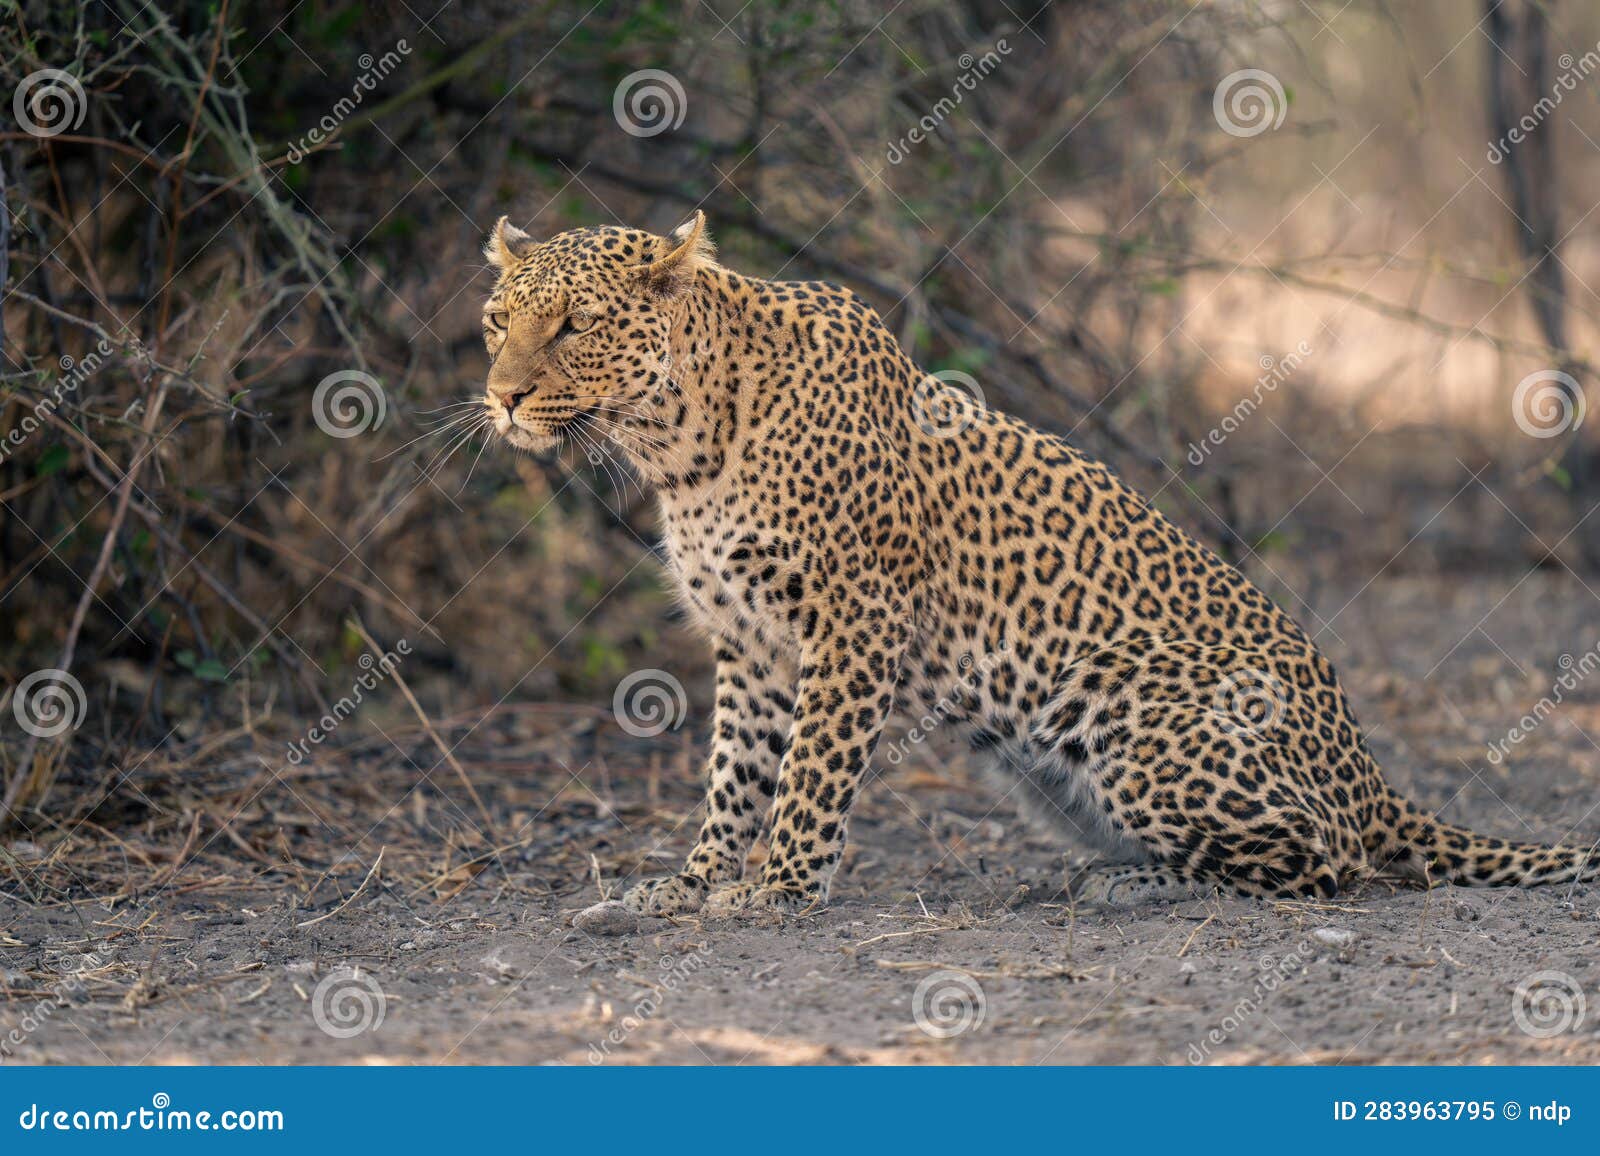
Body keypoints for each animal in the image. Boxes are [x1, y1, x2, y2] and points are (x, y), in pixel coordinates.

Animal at [478, 209, 1599, 914]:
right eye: (498, 321)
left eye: (574, 324)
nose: (501, 396)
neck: (681, 442)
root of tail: (1371, 776)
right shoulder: (748, 640)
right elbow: (734, 770)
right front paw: (693, 881)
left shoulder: (853, 620)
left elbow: (811, 767)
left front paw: (781, 887)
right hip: (1041, 767)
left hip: (1137, 714)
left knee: (1331, 862)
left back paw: (1127, 886)